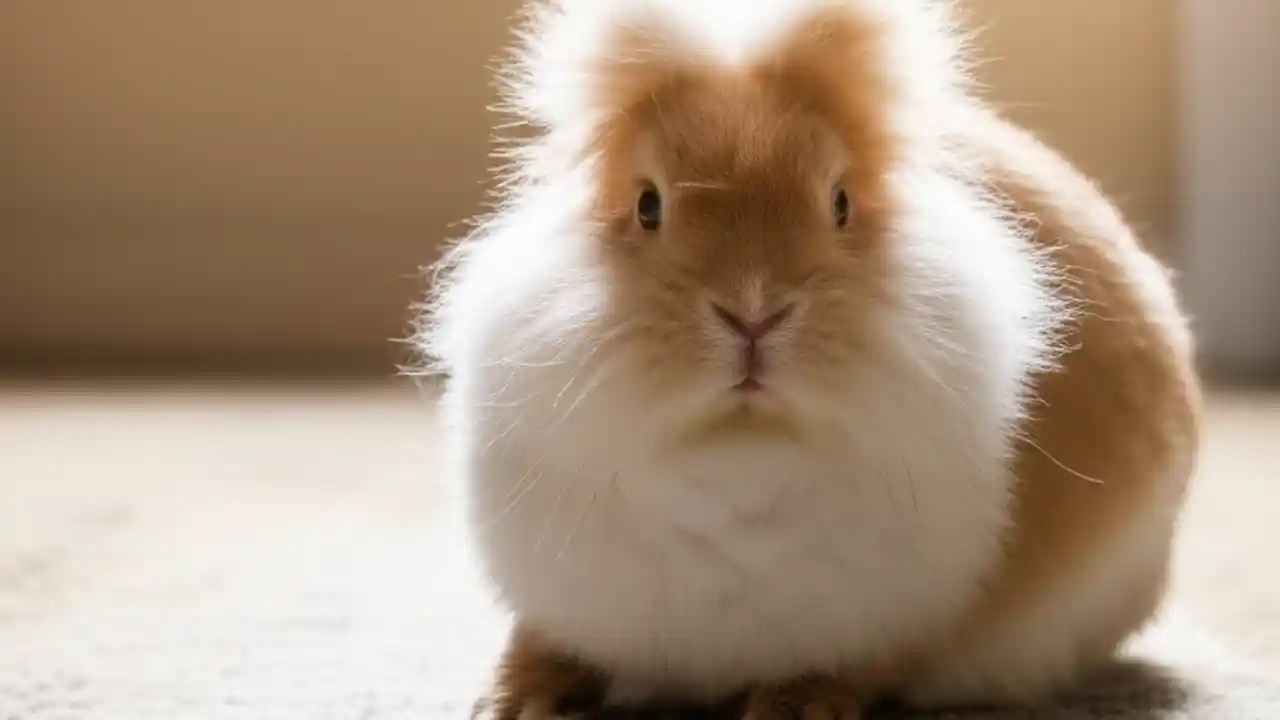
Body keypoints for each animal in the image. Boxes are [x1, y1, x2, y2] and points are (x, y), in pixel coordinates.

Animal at [421, 0, 1201, 717]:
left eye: (841, 203)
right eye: (647, 205)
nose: (753, 314)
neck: (740, 451)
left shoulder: (884, 614)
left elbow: (853, 666)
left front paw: (792, 709)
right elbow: (549, 644)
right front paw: (515, 703)